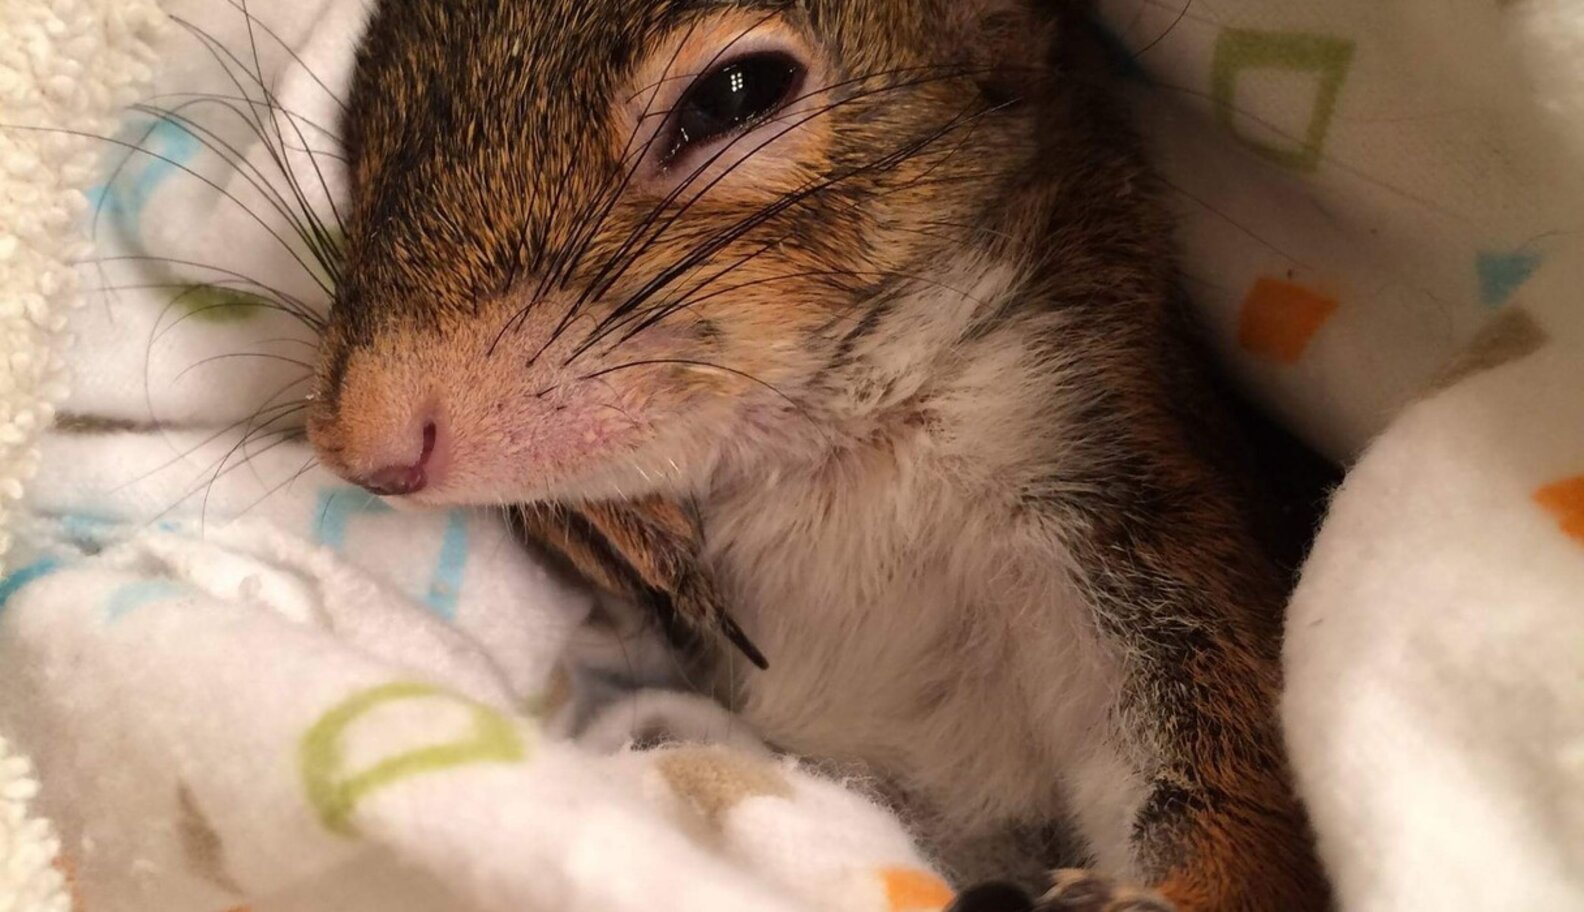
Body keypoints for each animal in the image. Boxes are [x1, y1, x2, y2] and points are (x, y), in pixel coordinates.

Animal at [306, 1, 1332, 909]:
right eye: (353, 127)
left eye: (736, 92)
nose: (363, 440)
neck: (827, 440)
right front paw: (605, 522)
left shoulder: (1113, 477)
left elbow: (1226, 753)